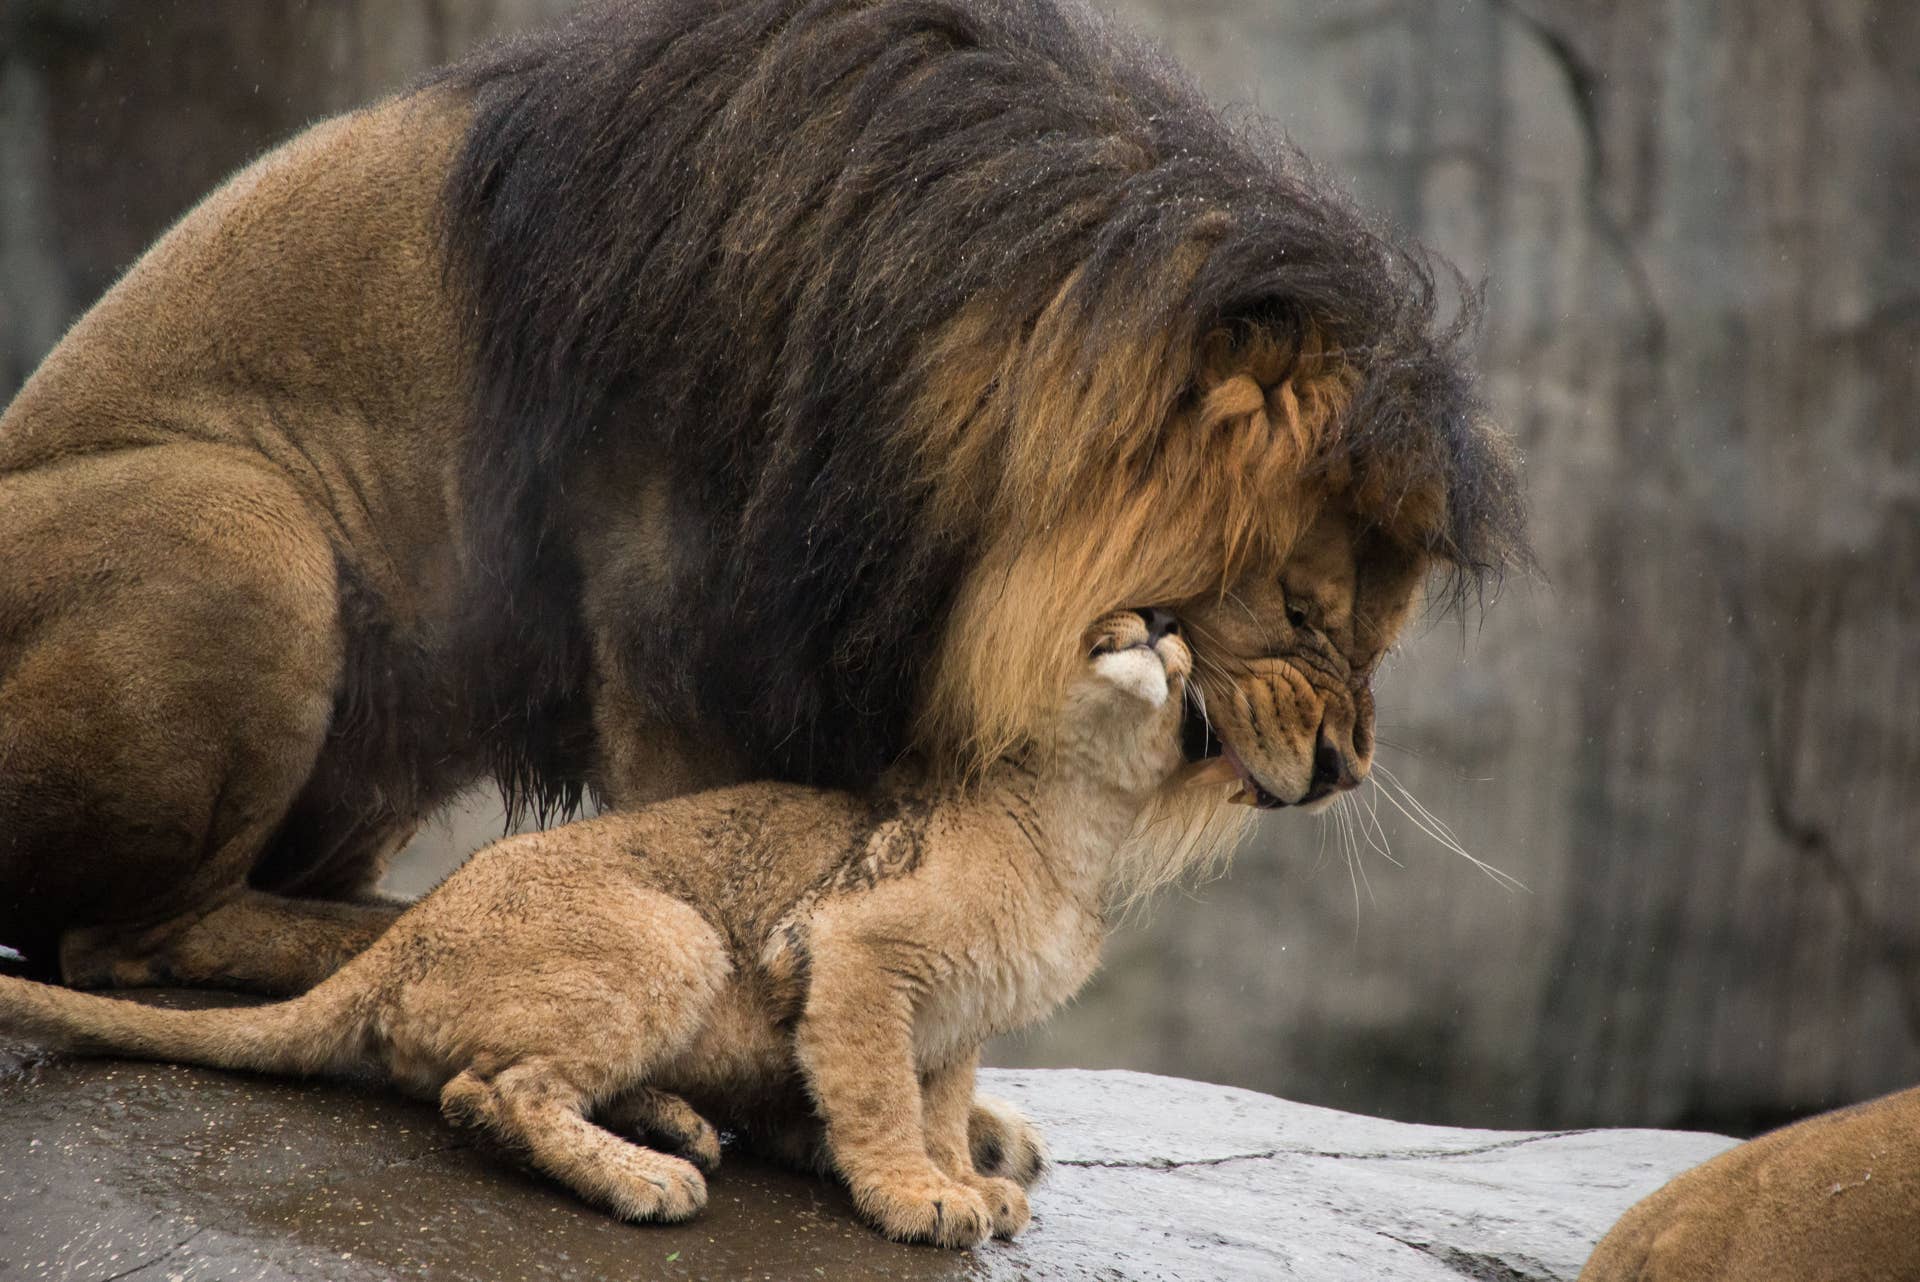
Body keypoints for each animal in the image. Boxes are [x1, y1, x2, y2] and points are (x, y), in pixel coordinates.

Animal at [0, 0, 1523, 1176]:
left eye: (1378, 637)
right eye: (1305, 610)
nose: (1342, 768)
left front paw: (962, 1113)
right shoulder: (666, 647)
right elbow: (718, 853)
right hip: (245, 524)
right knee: (125, 938)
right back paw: (382, 944)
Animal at [1, 610, 1213, 1248]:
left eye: (1179, 629)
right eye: (1116, 614)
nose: (1158, 626)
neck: (1078, 824)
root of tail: (401, 940)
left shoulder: (956, 1020)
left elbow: (944, 1104)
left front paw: (969, 1176)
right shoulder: (853, 952)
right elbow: (879, 1096)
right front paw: (922, 1196)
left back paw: (677, 1125)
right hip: (672, 935)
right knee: (489, 1091)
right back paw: (648, 1175)